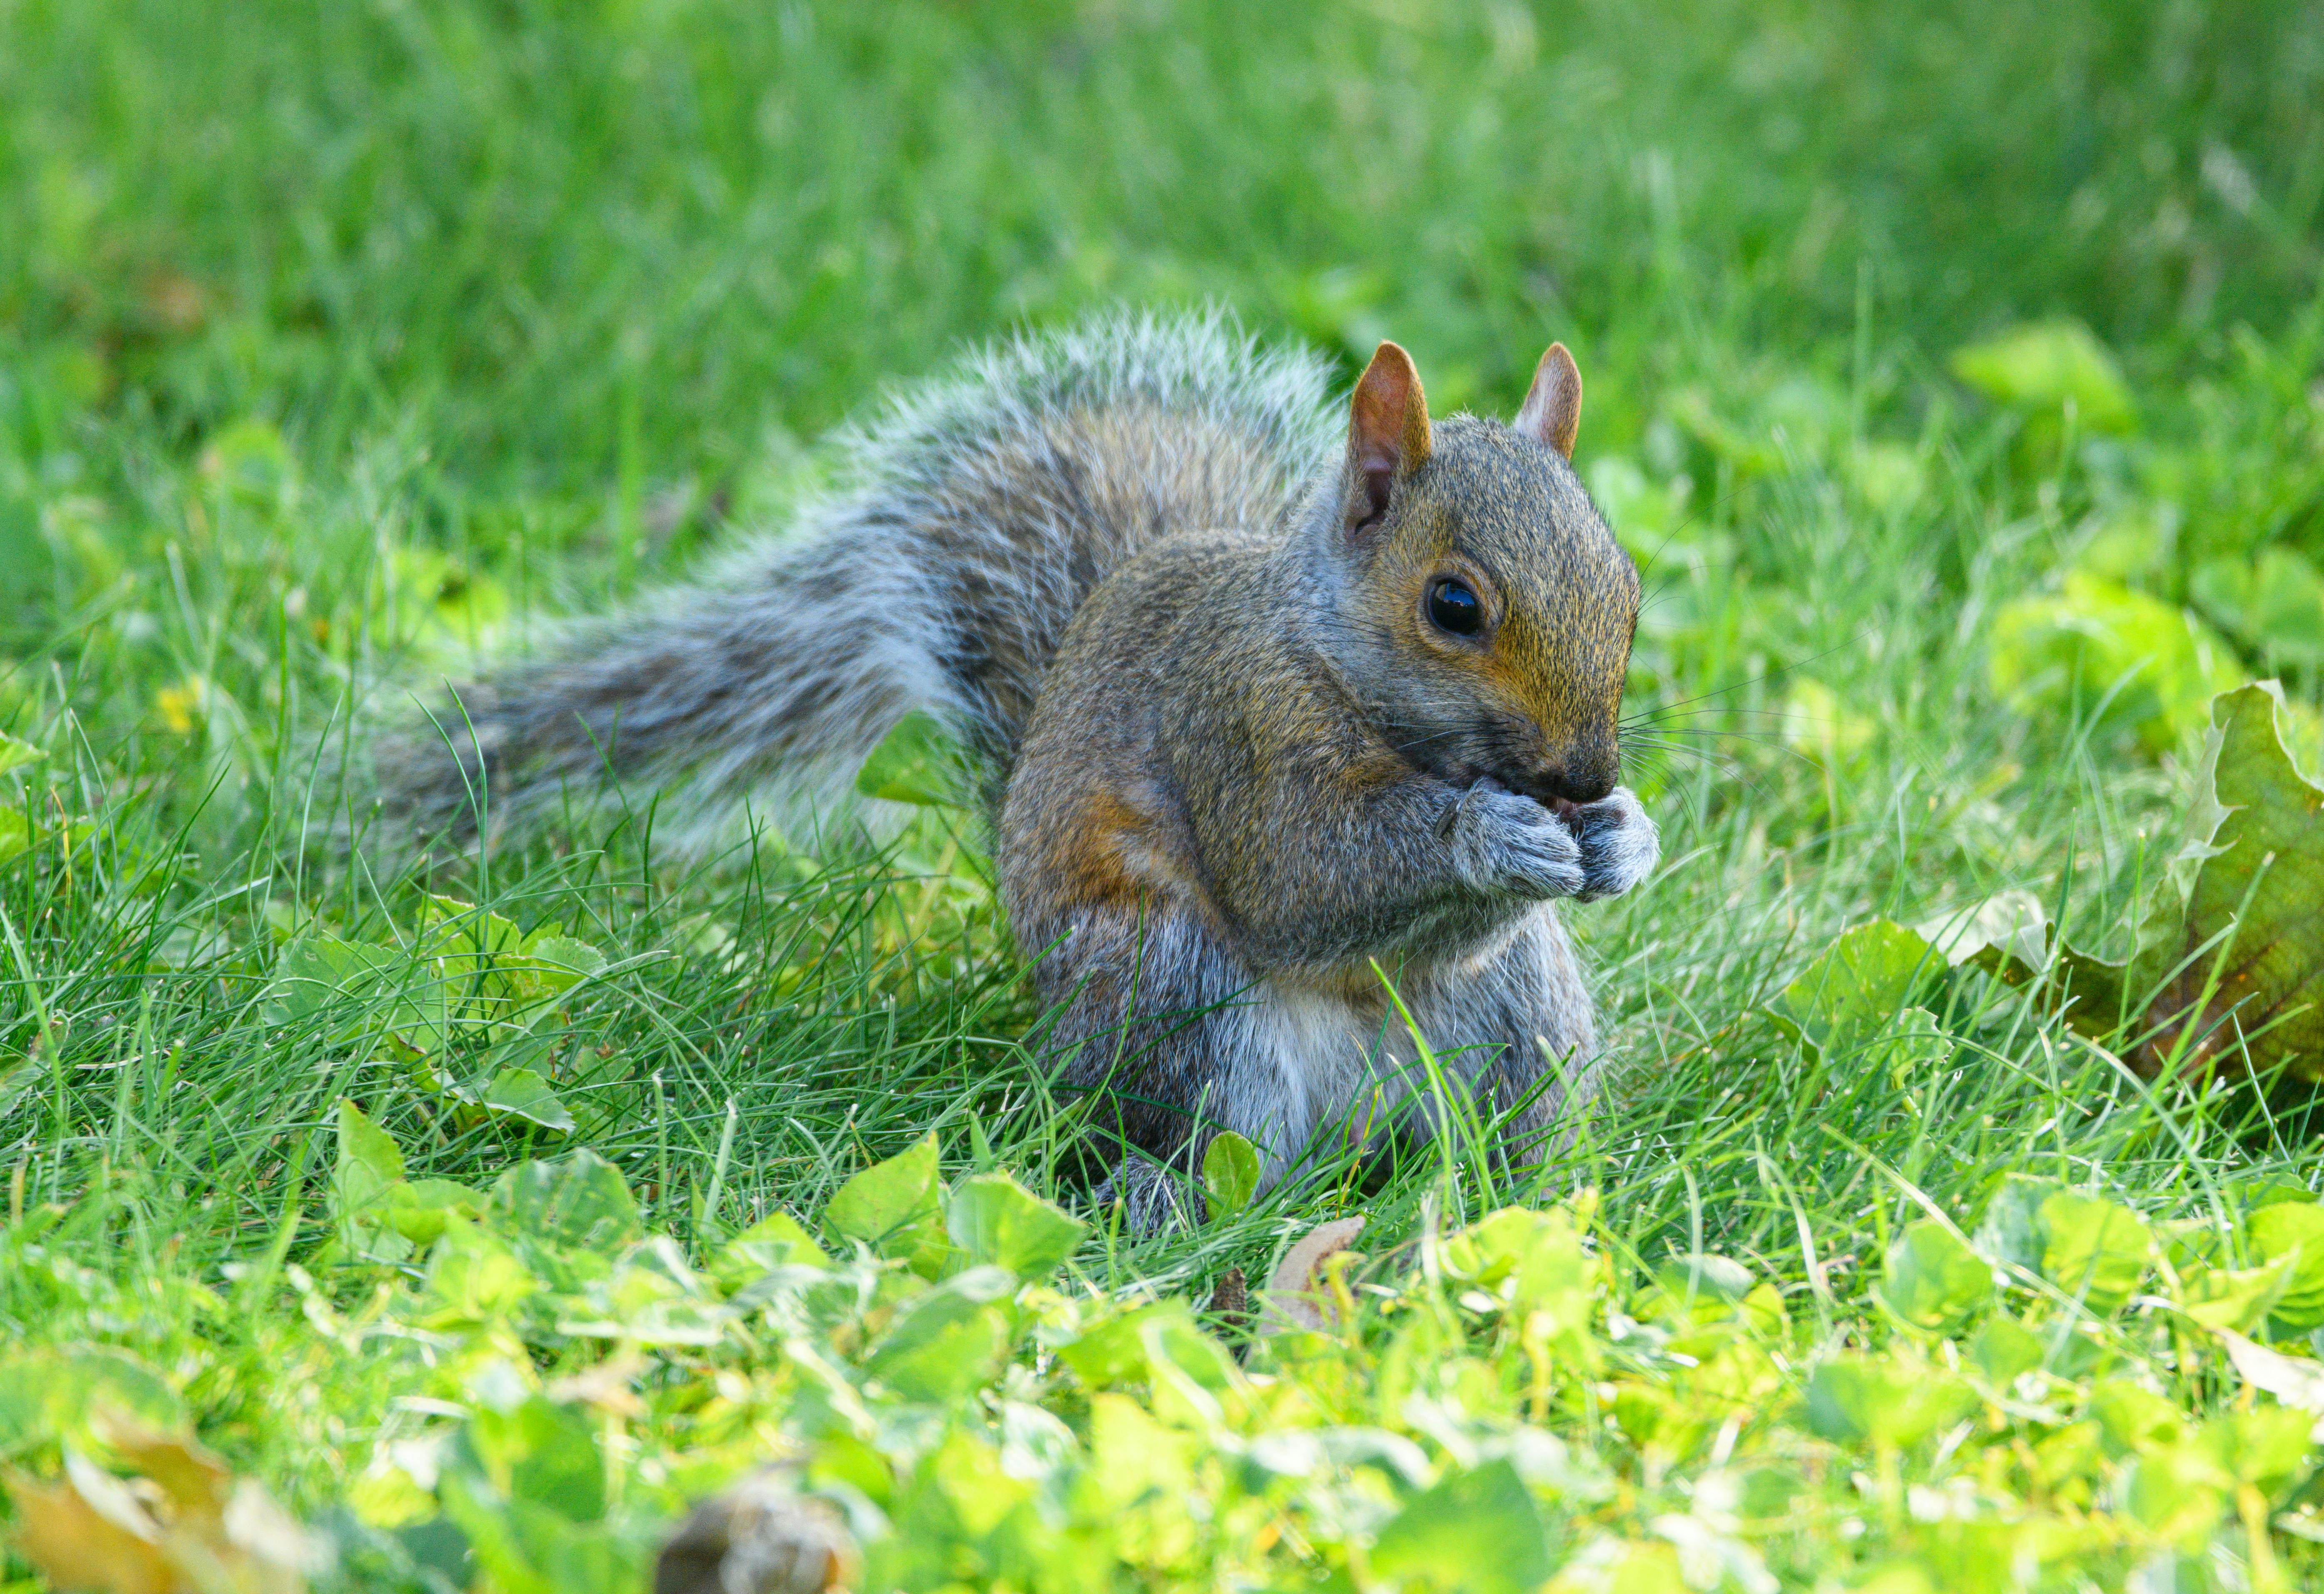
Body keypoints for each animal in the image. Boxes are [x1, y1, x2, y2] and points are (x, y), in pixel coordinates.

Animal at [377, 312, 1659, 1230]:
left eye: (1629, 584)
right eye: (1453, 605)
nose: (1583, 773)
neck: (1335, 661)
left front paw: (1625, 835)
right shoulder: (1231, 724)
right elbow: (1302, 884)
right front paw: (1484, 835)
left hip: (1517, 1020)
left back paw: (1522, 1198)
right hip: (1171, 991)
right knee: (1220, 1149)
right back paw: (1169, 1197)